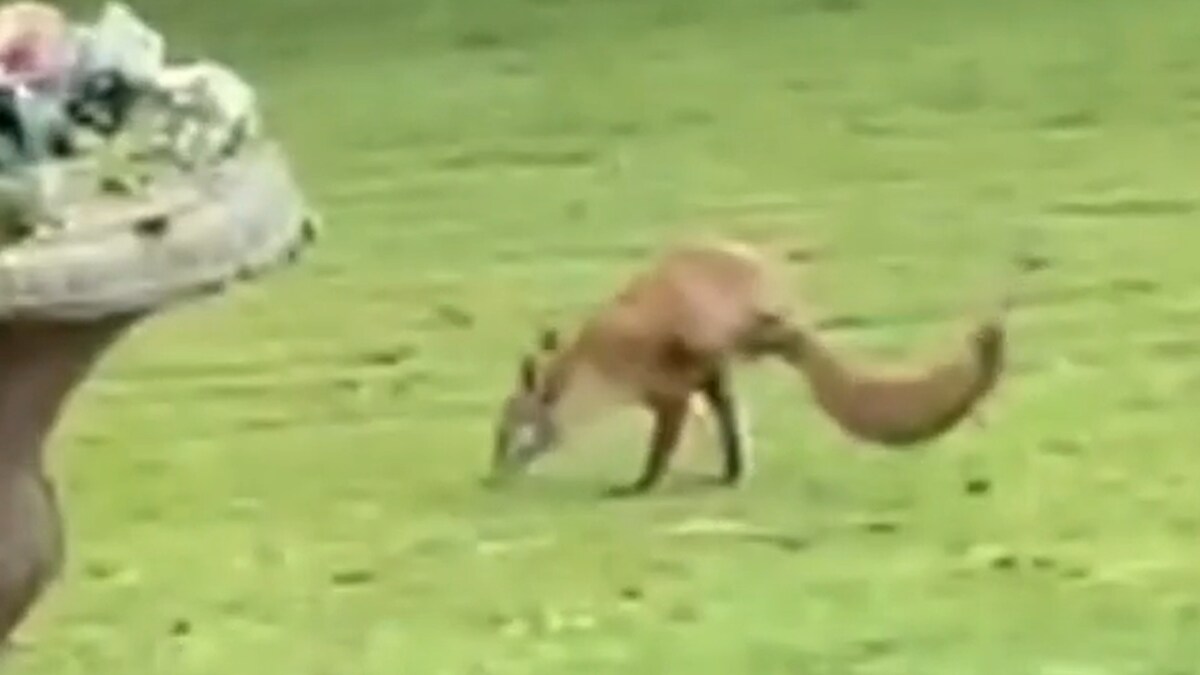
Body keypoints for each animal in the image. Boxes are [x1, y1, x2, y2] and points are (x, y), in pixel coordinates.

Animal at [489, 239, 1008, 495]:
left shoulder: (669, 393)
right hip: (720, 358)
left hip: (716, 337)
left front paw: (639, 486)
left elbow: (661, 448)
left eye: (508, 429)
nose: (492, 475)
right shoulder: (685, 384)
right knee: (729, 410)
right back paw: (730, 472)